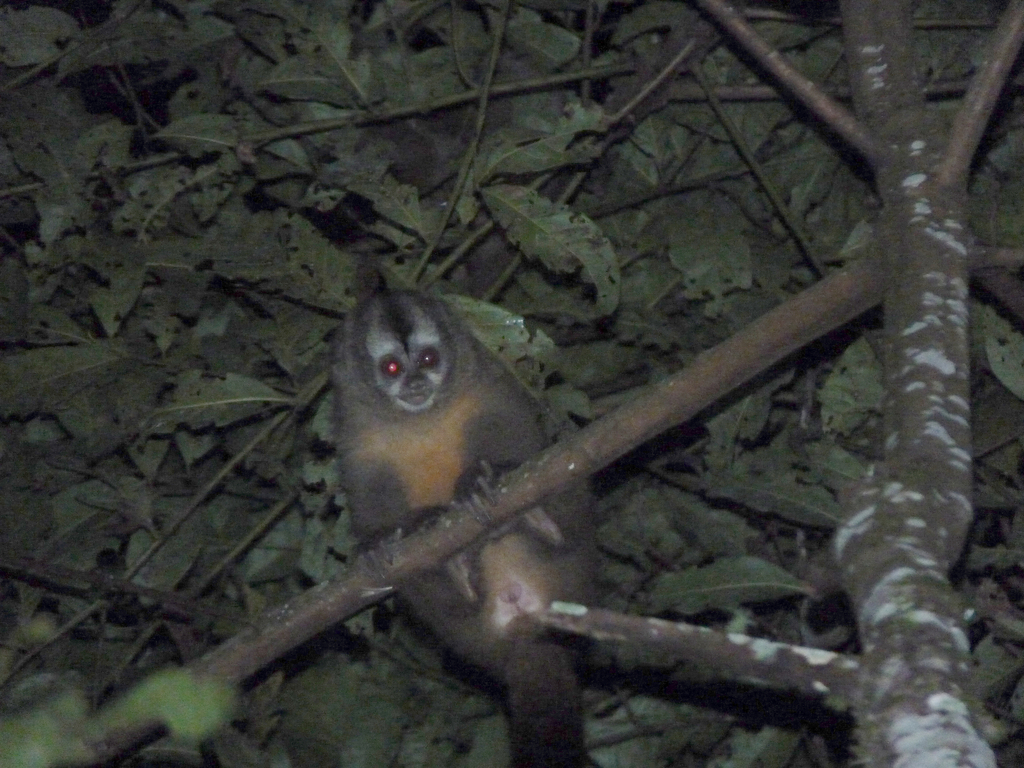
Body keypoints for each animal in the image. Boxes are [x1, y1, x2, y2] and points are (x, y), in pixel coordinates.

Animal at [332, 290, 595, 768]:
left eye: (429, 358)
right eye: (392, 368)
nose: (416, 382)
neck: (418, 419)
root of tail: (525, 630)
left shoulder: (491, 390)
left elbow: (528, 445)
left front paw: (477, 479)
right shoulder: (356, 445)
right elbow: (369, 511)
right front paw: (378, 542)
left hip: (576, 569)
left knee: (562, 472)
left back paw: (544, 523)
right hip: (458, 631)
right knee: (430, 592)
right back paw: (455, 574)